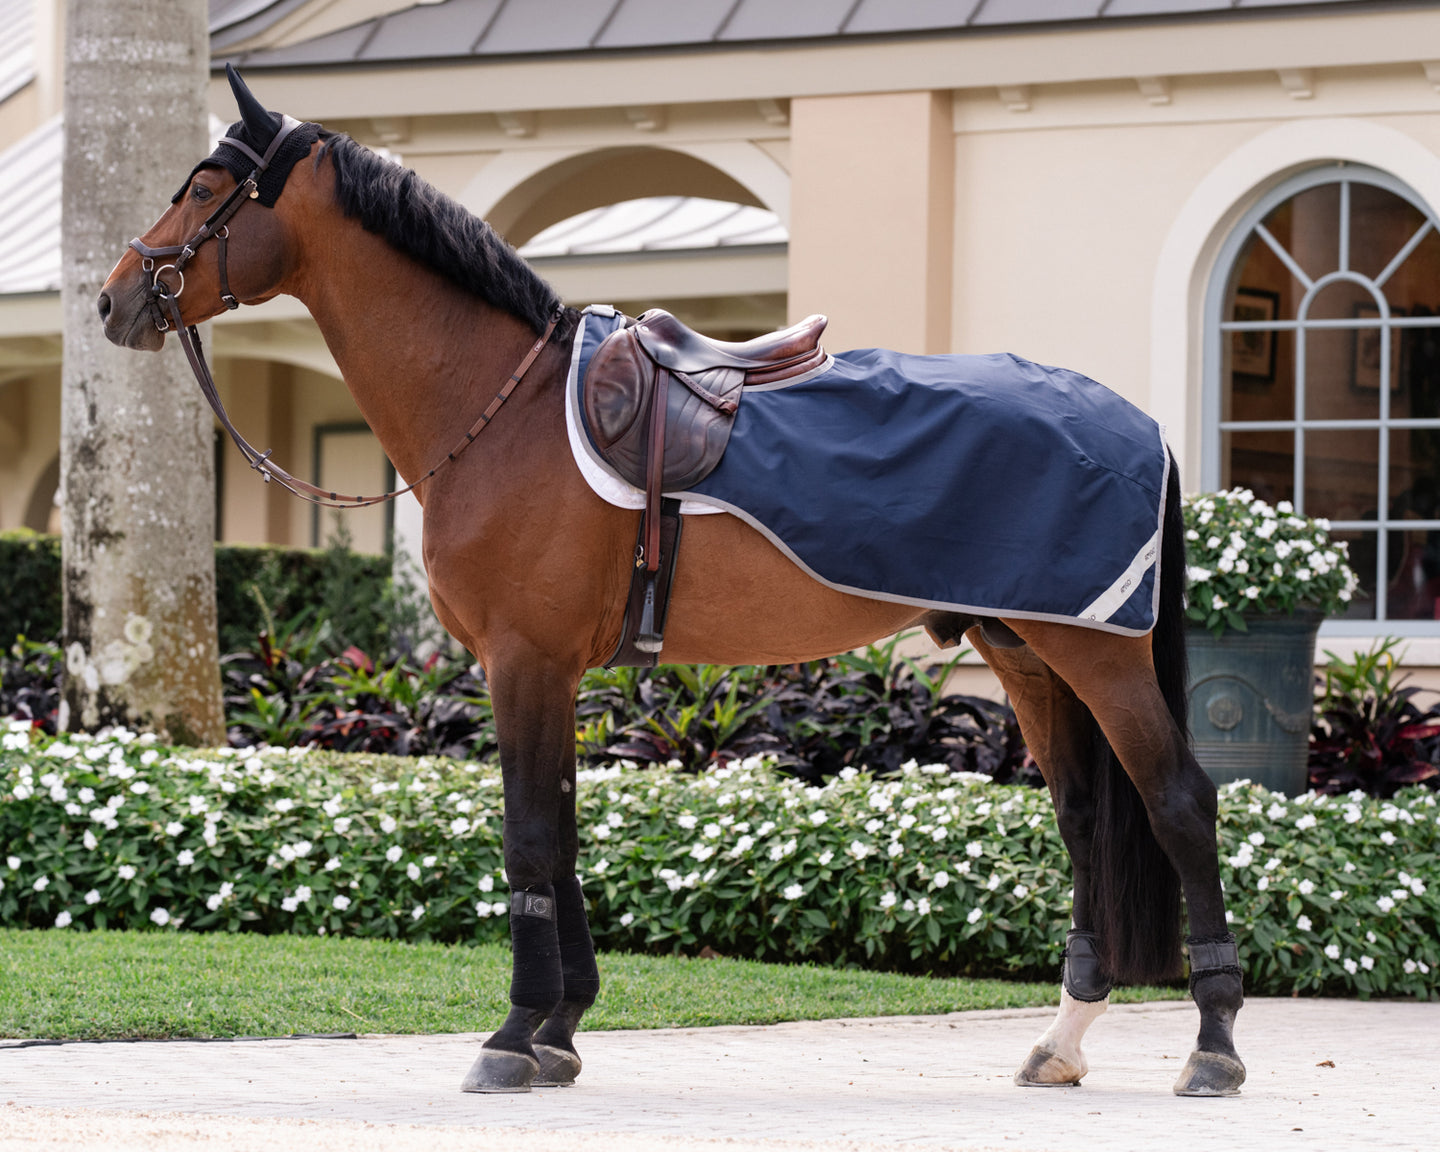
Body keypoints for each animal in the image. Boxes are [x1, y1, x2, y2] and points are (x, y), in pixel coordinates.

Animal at [97, 67, 1245, 1099]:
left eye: (204, 186)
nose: (114, 299)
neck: (499, 410)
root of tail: (1136, 420)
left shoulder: (521, 661)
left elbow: (527, 837)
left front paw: (512, 1038)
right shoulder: (550, 671)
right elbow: (560, 832)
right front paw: (559, 1030)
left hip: (1097, 653)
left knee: (1180, 804)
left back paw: (1214, 1047)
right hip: (1028, 654)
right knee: (1087, 822)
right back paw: (1063, 1043)